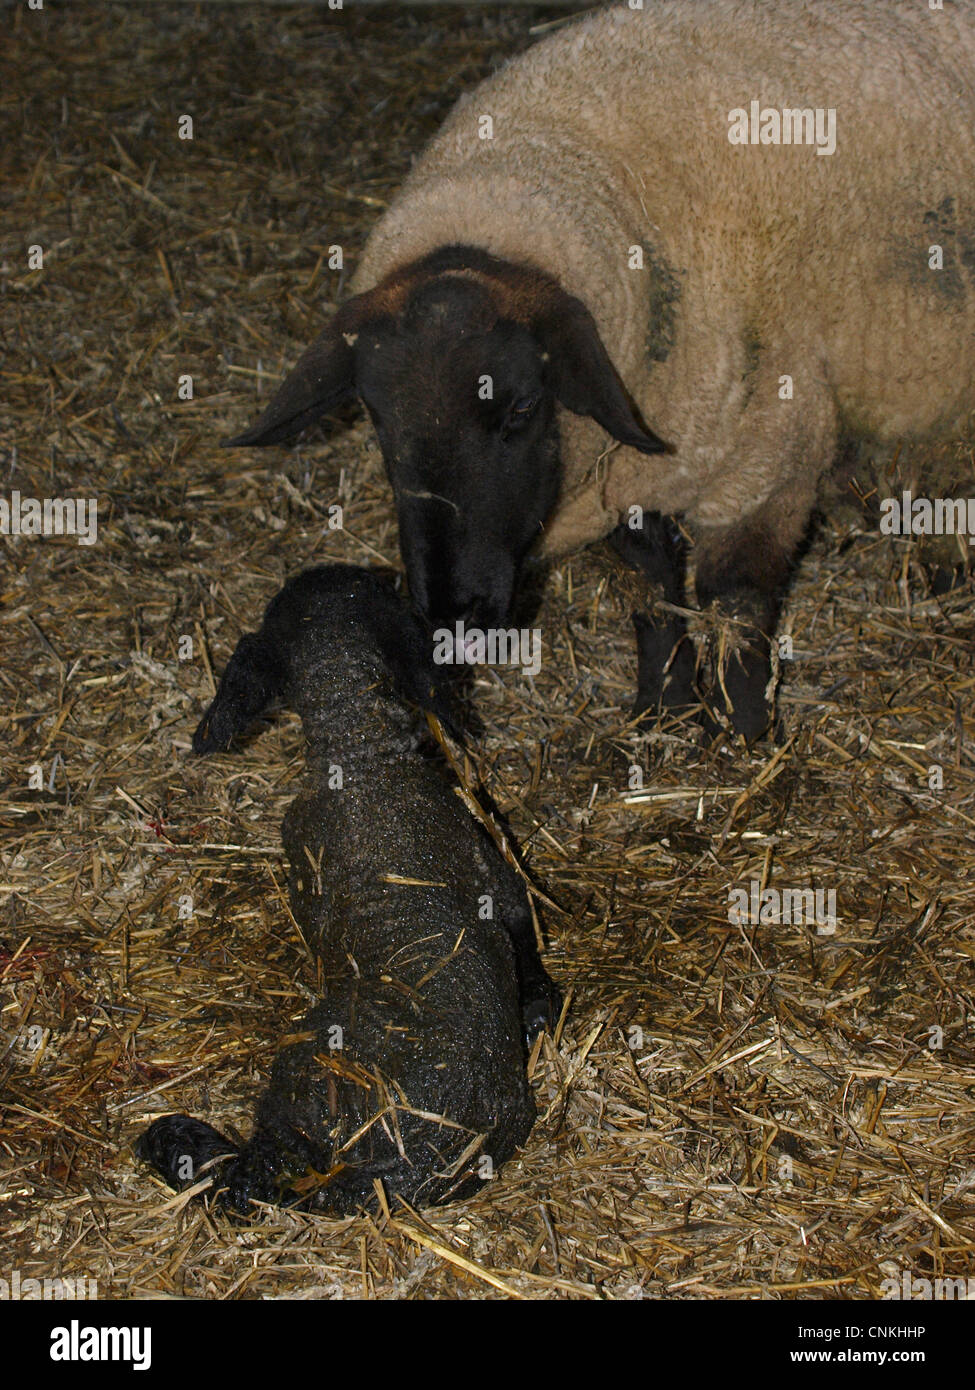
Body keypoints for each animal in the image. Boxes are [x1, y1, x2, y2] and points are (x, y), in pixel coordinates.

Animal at [136, 564, 560, 1214]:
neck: (360, 753)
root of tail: (400, 1169)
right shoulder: (485, 853)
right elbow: (520, 922)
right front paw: (539, 1002)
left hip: (305, 1070)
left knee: (252, 1177)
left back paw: (175, 1141)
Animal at [223, 0, 975, 742]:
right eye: (377, 418)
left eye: (521, 409)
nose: (454, 617)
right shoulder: (628, 468)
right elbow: (650, 585)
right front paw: (664, 704)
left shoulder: (768, 457)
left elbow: (737, 604)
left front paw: (746, 732)